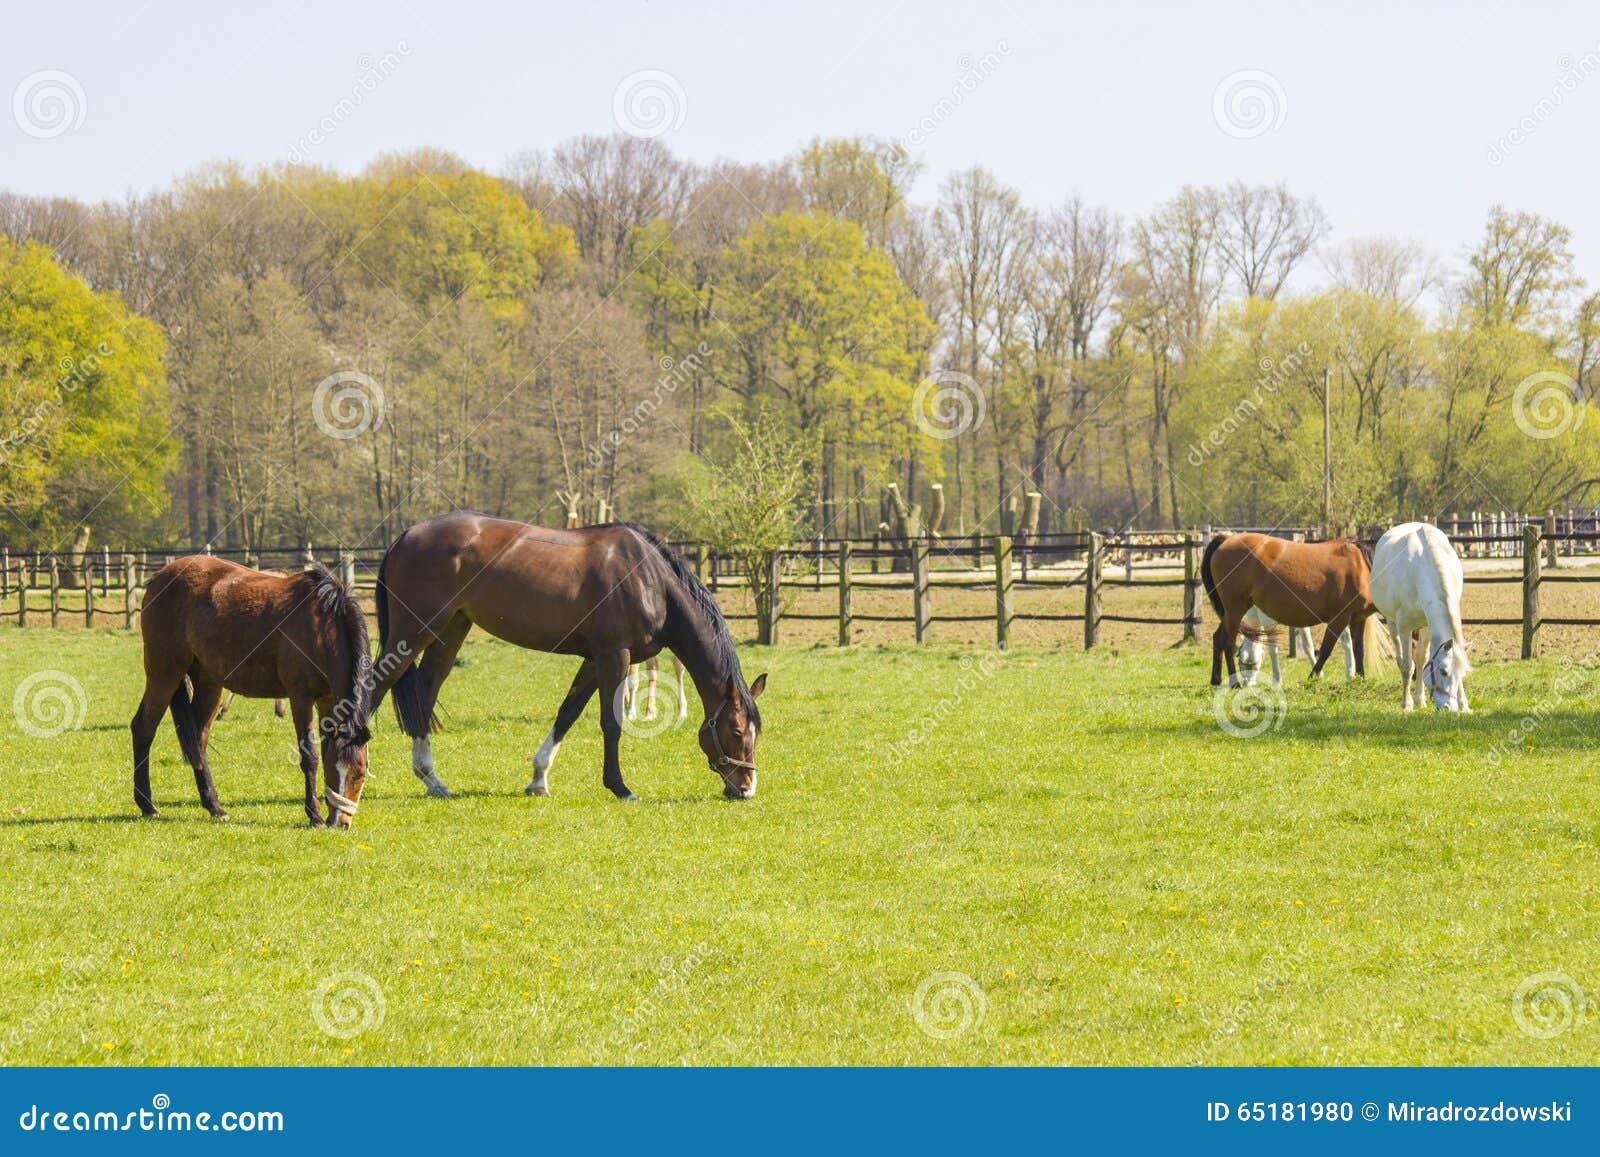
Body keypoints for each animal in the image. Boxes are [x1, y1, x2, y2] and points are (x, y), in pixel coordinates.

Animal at [131, 558, 374, 827]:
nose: (341, 822)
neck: (321, 628)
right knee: (143, 728)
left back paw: (214, 806)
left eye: (360, 773)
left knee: (198, 740)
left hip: (208, 683)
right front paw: (314, 814)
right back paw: (147, 804)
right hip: (164, 675)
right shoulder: (300, 697)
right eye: (336, 770)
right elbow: (310, 756)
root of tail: (159, 577)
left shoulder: (327, 699)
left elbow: (323, 749)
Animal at [370, 513, 766, 802]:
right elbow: (611, 723)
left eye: (755, 733)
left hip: (451, 630)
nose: (746, 789)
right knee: (375, 686)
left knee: (425, 693)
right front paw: (620, 787)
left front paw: (538, 779)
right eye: (735, 731)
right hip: (411, 633)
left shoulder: (594, 660)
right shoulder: (614, 656)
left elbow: (567, 713)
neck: (651, 580)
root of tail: (405, 536)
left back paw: (432, 779)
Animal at [1200, 532, 1379, 687]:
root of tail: (1226, 539)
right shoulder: (1339, 619)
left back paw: (1216, 680)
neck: (1362, 565)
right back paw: (1234, 682)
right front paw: (1312, 677)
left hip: (1231, 611)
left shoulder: (1357, 619)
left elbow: (1358, 649)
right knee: (1228, 642)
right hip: (1235, 609)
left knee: (1218, 638)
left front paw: (1360, 678)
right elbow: (1326, 649)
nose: (1248, 683)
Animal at [1370, 522, 1471, 711]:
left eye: (1462, 673)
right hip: (1392, 623)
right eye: (1443, 671)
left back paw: (1420, 699)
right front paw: (1406, 704)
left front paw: (1464, 705)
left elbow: (1423, 660)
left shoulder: (1429, 625)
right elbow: (1408, 666)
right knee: (1401, 658)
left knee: (1421, 657)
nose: (1449, 707)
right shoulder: (1404, 627)